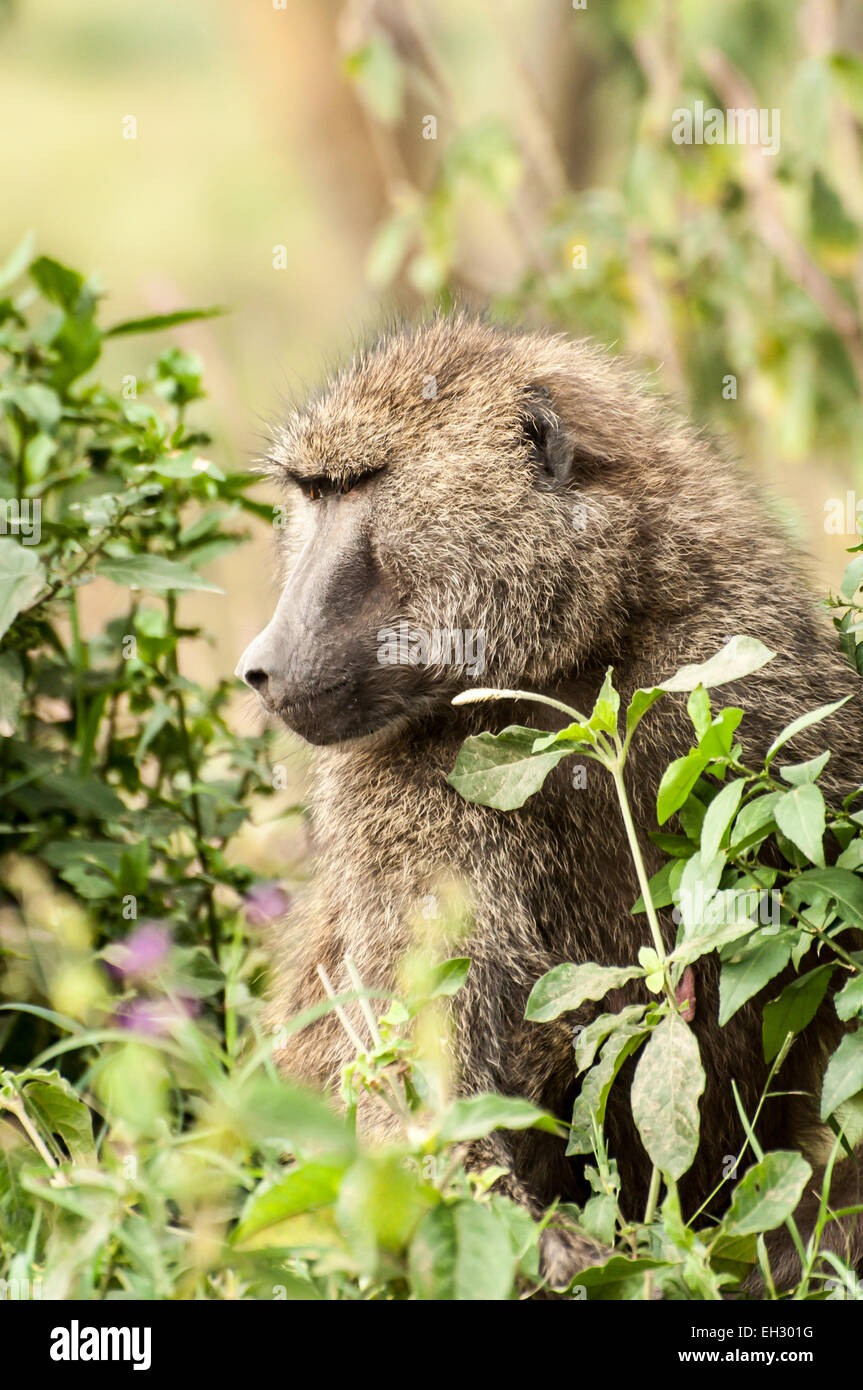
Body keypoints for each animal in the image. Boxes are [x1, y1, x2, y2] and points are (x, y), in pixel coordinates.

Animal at [237, 312, 863, 1293]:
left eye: (359, 485)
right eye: (315, 494)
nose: (258, 667)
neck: (566, 658)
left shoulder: (758, 677)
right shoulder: (401, 785)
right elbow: (412, 1041)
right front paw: (527, 1238)